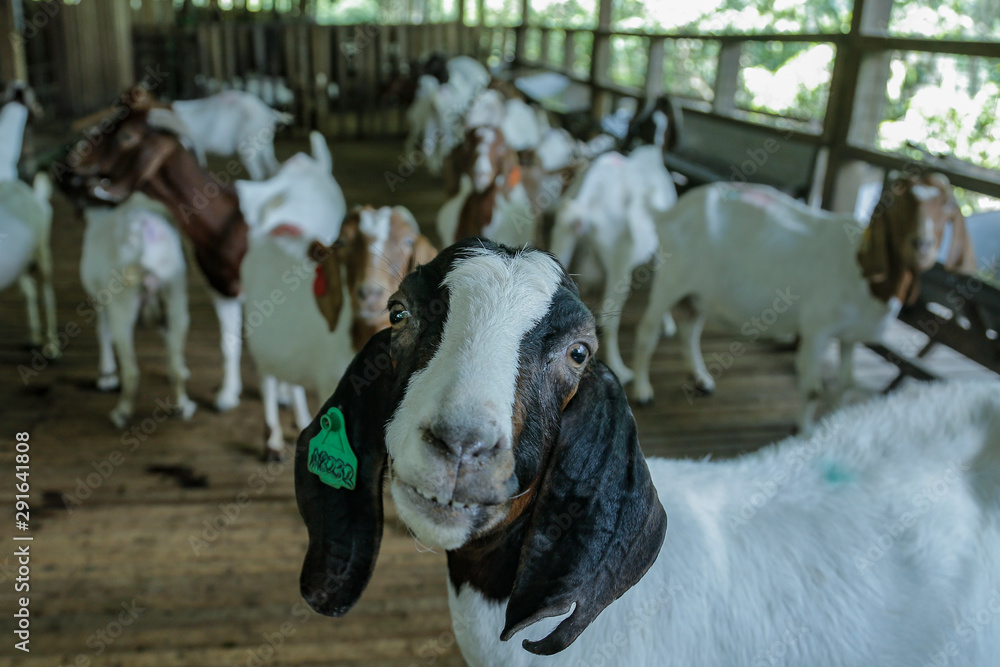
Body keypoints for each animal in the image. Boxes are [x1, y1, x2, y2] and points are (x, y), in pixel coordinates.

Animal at [80, 194, 196, 427]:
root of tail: (145, 237)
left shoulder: (100, 298)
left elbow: (102, 332)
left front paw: (106, 375)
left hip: (122, 308)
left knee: (131, 372)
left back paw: (121, 413)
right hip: (176, 299)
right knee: (174, 368)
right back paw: (183, 405)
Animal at [238, 202, 434, 459]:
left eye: (409, 241)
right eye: (342, 242)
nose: (370, 293)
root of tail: (271, 230)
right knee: (266, 380)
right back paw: (273, 443)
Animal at [629, 176, 964, 432]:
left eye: (947, 206)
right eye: (897, 205)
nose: (922, 246)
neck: (865, 272)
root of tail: (670, 211)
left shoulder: (849, 335)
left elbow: (846, 382)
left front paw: (836, 423)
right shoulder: (817, 328)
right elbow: (813, 389)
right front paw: (804, 432)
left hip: (701, 292)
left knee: (689, 329)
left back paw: (700, 378)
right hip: (671, 279)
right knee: (647, 332)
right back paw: (643, 389)